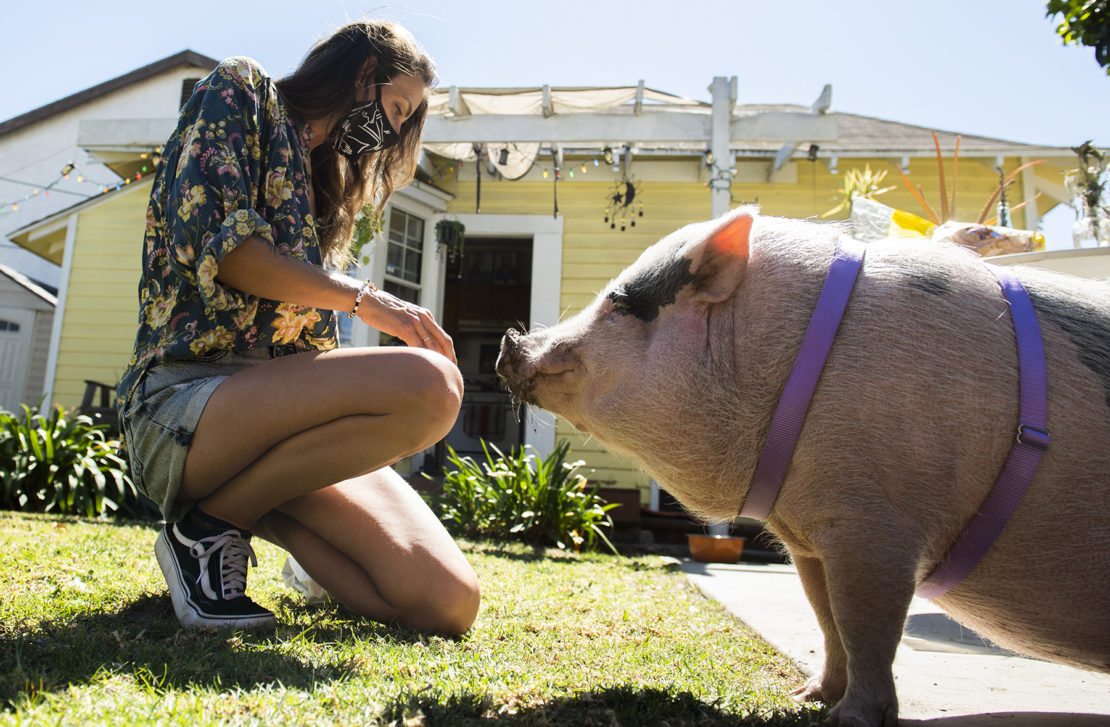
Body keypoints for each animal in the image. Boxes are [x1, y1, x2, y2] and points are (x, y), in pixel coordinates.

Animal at [496, 207, 1110, 727]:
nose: (510, 341)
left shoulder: (876, 526)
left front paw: (848, 719)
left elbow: (865, 628)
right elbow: (827, 618)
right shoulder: (811, 539)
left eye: (622, 303)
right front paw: (805, 698)